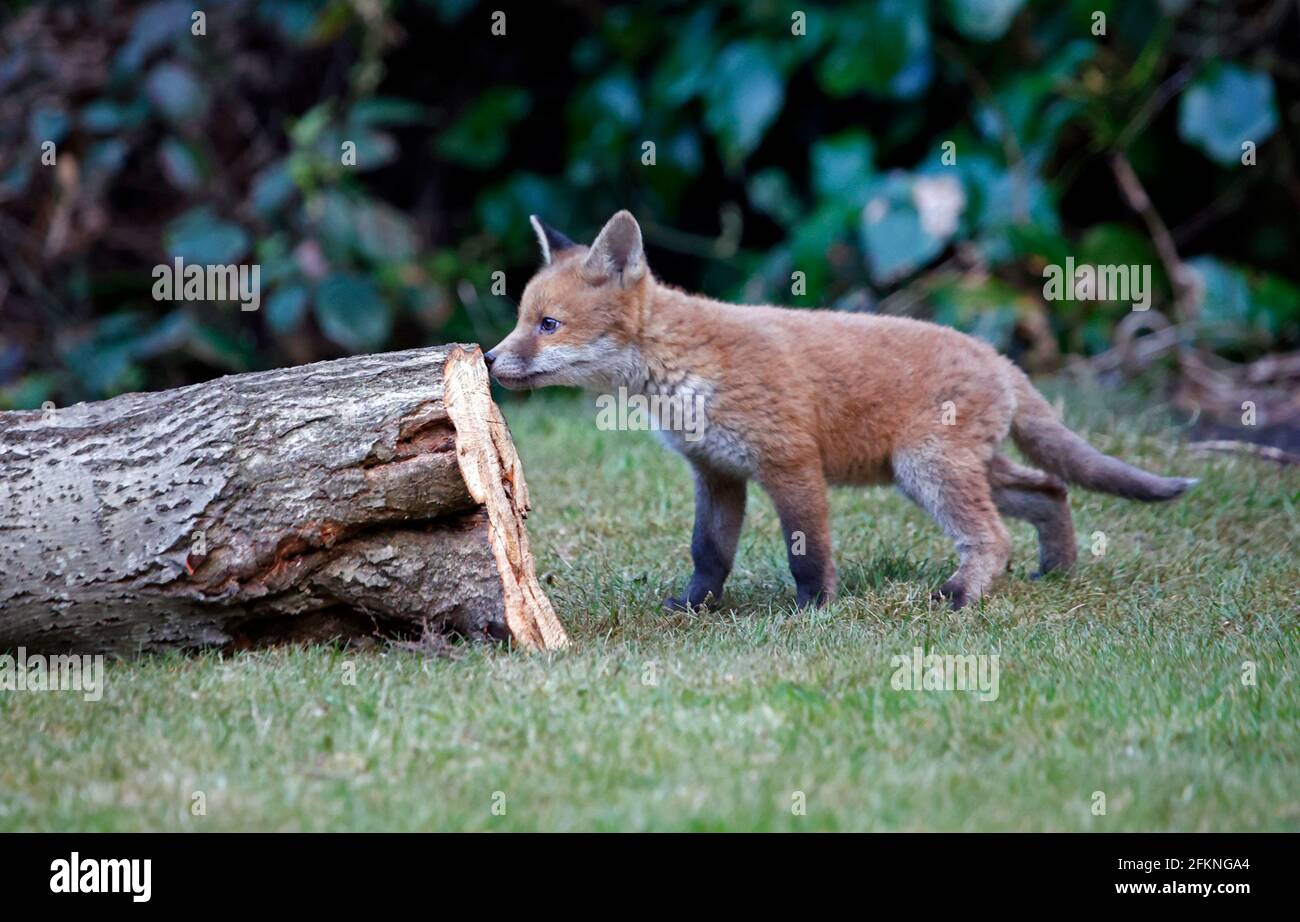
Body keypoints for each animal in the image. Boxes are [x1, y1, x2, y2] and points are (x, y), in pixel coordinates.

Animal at [486, 210, 1196, 611]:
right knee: (1052, 489)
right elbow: (707, 554)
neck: (683, 369)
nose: (489, 360)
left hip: (927, 470)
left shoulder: (790, 464)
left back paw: (963, 596)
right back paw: (1057, 574)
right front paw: (692, 609)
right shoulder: (717, 473)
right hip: (955, 471)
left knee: (994, 536)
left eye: (548, 325)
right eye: (521, 320)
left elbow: (809, 551)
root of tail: (998, 357)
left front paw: (814, 611)